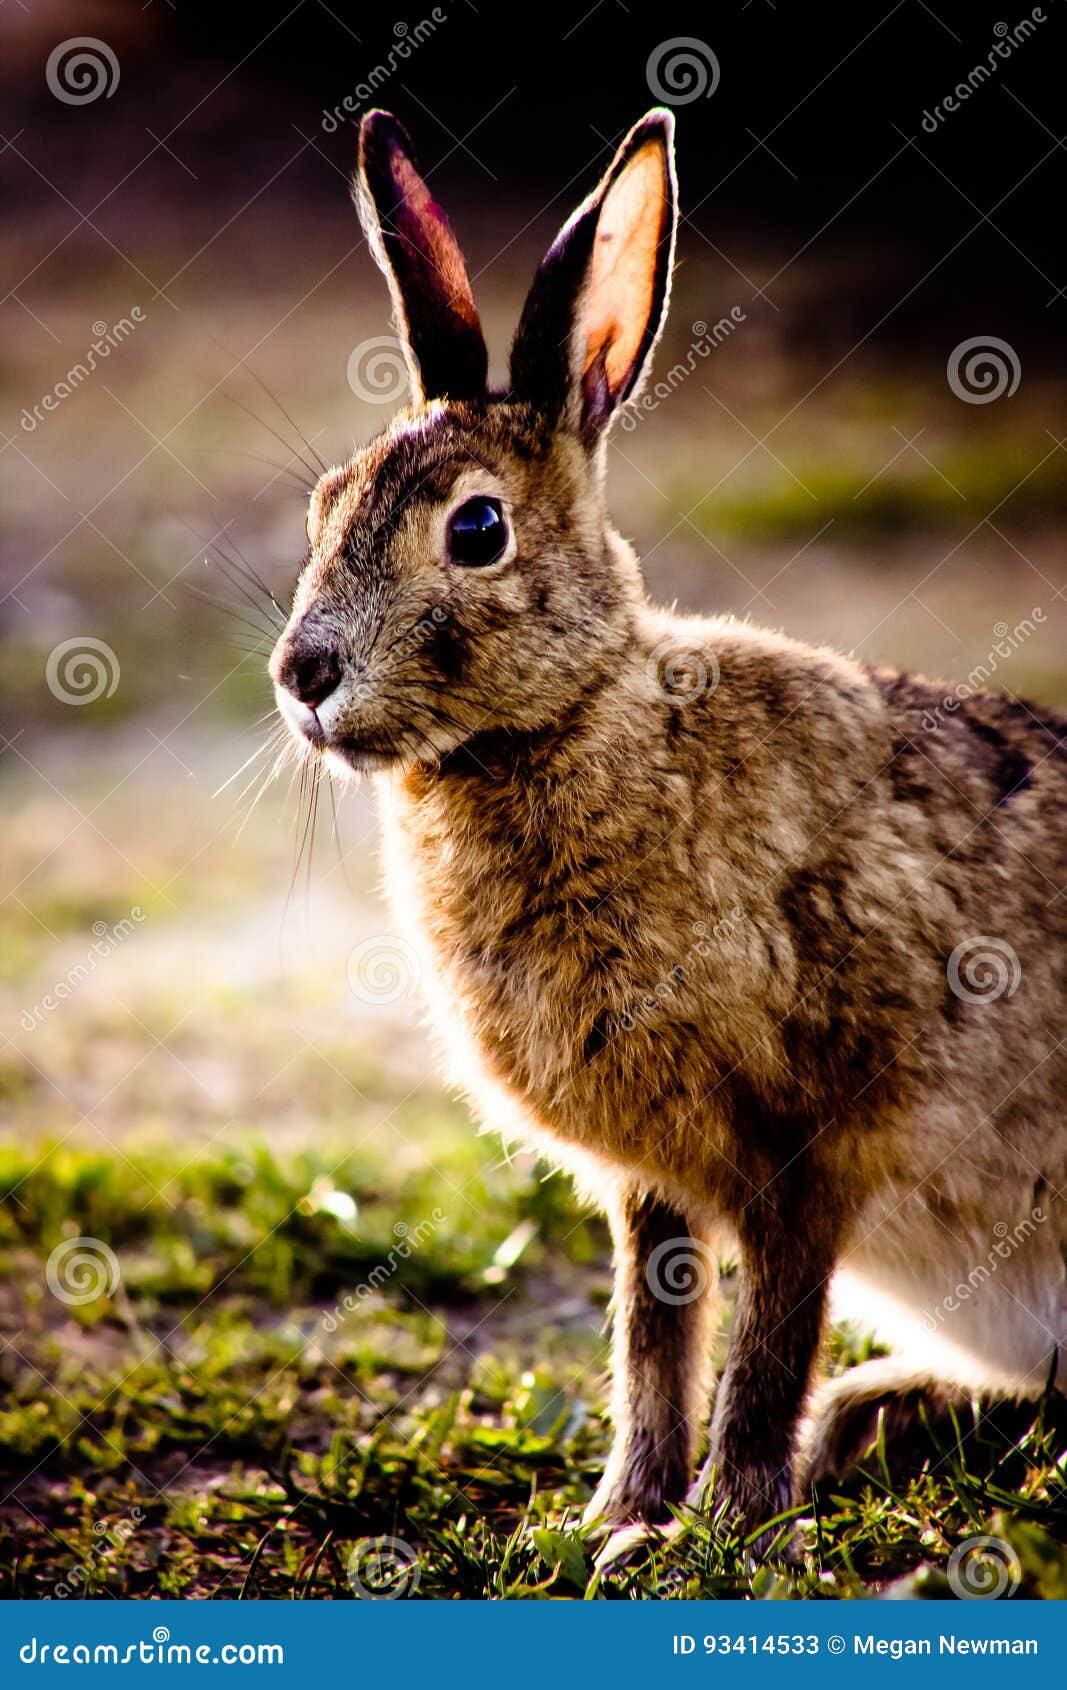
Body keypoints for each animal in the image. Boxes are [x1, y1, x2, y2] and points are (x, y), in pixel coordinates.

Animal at [269, 106, 1067, 1564]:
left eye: (476, 528)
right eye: (324, 504)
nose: (302, 675)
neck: (571, 725)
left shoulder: (813, 1137)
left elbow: (764, 1336)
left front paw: (722, 1525)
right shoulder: (651, 1185)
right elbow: (655, 1331)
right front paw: (614, 1523)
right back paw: (872, 1412)